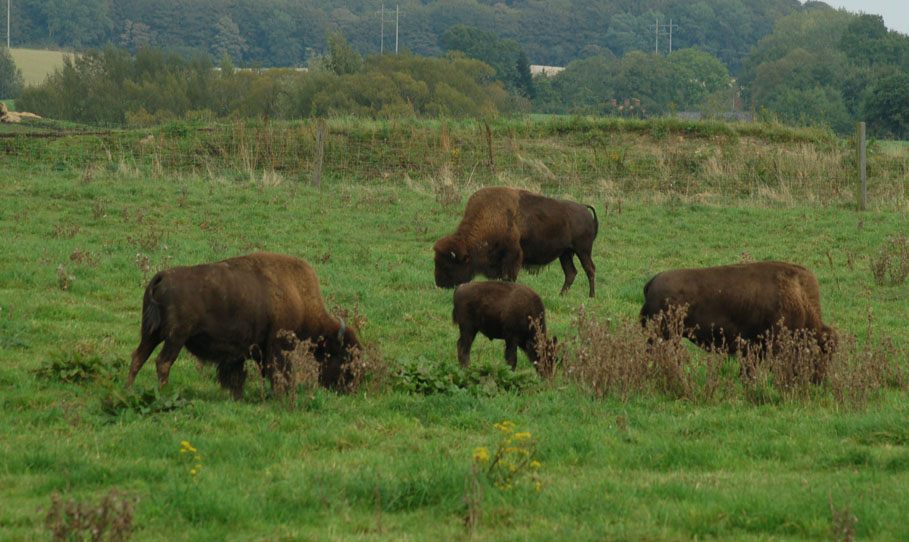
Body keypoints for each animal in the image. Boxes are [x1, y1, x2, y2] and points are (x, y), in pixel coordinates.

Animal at [126, 252, 361, 399]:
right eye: (345, 356)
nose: (352, 387)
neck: (298, 297)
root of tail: (161, 276)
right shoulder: (277, 346)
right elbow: (277, 372)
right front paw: (280, 395)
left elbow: (238, 375)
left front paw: (238, 396)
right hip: (176, 336)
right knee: (163, 362)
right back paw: (164, 392)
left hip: (151, 333)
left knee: (138, 357)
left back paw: (128, 389)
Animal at [433, 186, 598, 297]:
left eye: (448, 265)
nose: (439, 284)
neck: (491, 216)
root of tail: (584, 209)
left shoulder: (512, 256)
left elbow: (509, 278)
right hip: (565, 253)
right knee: (571, 272)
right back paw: (561, 295)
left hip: (583, 250)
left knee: (589, 269)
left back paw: (590, 296)